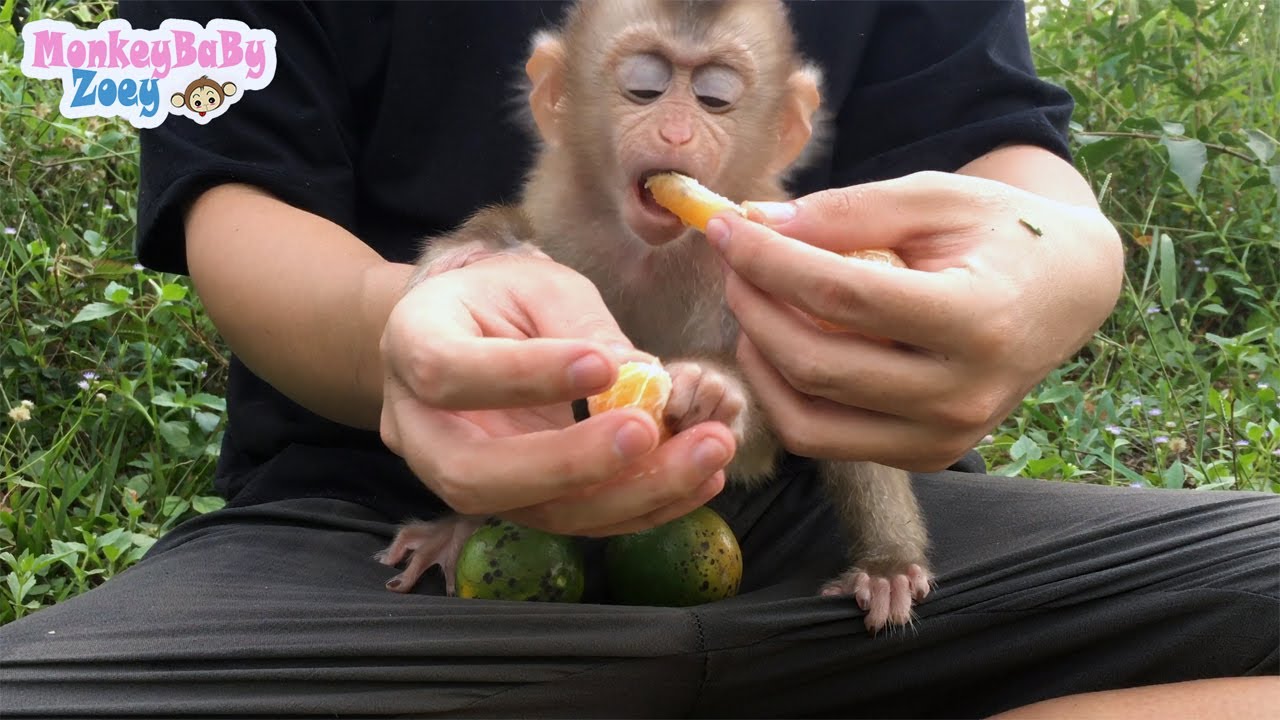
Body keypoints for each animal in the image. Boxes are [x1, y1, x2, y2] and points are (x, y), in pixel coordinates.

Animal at [378, 0, 933, 635]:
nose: (675, 132)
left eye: (715, 98)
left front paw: (713, 393)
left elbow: (768, 435)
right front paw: (480, 249)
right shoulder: (561, 206)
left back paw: (888, 564)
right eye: (644, 87)